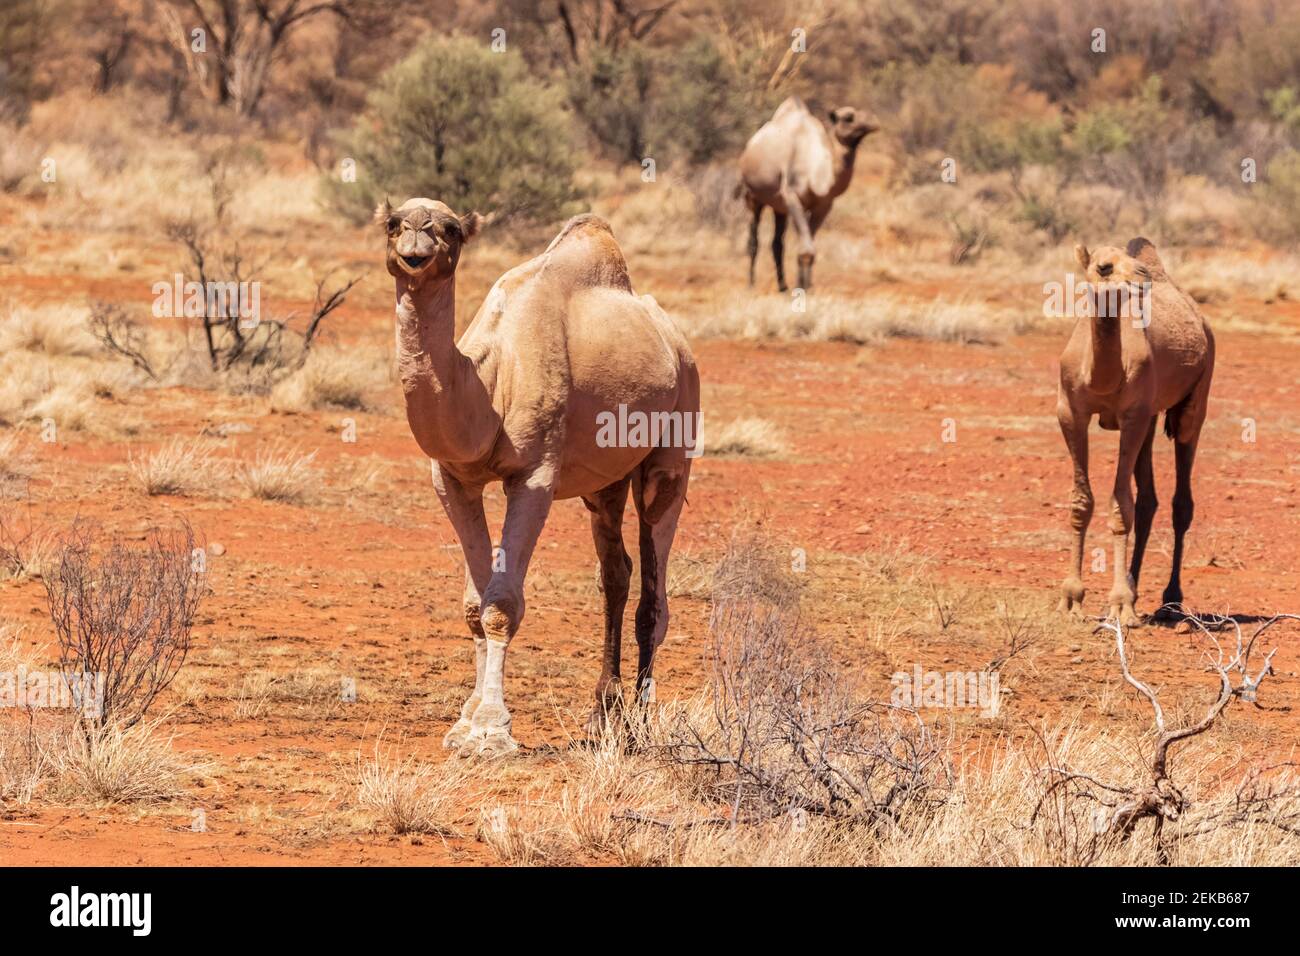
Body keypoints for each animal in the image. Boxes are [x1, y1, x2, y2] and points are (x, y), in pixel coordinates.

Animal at [379, 197, 699, 756]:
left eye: (451, 229)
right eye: (394, 223)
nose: (416, 240)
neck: (491, 382)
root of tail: (678, 344)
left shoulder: (534, 478)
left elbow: (502, 604)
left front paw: (492, 730)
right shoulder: (452, 479)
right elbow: (474, 605)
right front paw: (464, 723)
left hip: (674, 449)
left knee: (654, 594)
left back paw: (639, 723)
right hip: (605, 483)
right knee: (616, 574)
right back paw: (602, 714)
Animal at [738, 96, 877, 292]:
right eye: (849, 117)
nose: (873, 121)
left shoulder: (823, 205)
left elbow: (808, 246)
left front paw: (805, 285)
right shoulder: (793, 197)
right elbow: (805, 249)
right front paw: (802, 286)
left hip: (779, 207)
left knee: (777, 242)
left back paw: (782, 286)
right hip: (753, 197)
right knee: (753, 239)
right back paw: (751, 284)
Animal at [1055, 237, 1215, 626]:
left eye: (1128, 260)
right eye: (1103, 267)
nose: (1143, 277)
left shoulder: (1132, 416)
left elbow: (1119, 504)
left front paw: (1118, 604)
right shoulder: (1070, 412)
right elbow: (1082, 501)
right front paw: (1072, 598)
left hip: (1192, 404)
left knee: (1180, 502)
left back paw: (1169, 599)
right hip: (1152, 417)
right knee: (1148, 501)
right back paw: (1134, 586)